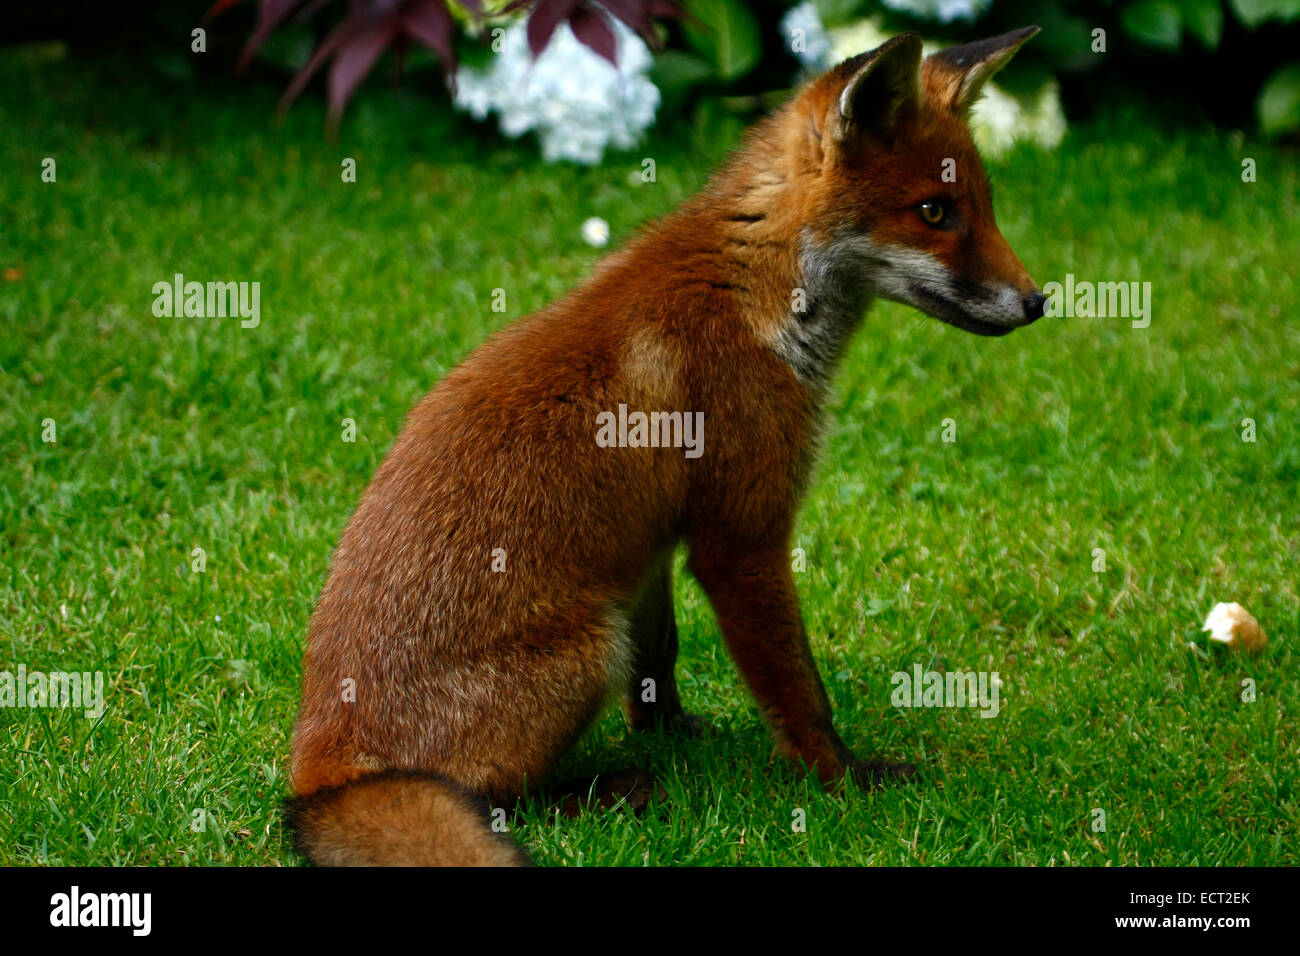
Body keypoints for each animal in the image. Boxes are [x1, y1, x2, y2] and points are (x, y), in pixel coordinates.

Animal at [287, 27, 1046, 866]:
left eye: (983, 208)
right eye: (934, 212)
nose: (1038, 302)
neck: (757, 294)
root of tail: (321, 778)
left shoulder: (650, 547)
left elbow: (663, 658)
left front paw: (674, 735)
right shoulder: (741, 538)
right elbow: (798, 688)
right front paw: (841, 779)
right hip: (588, 648)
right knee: (494, 799)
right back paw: (606, 791)